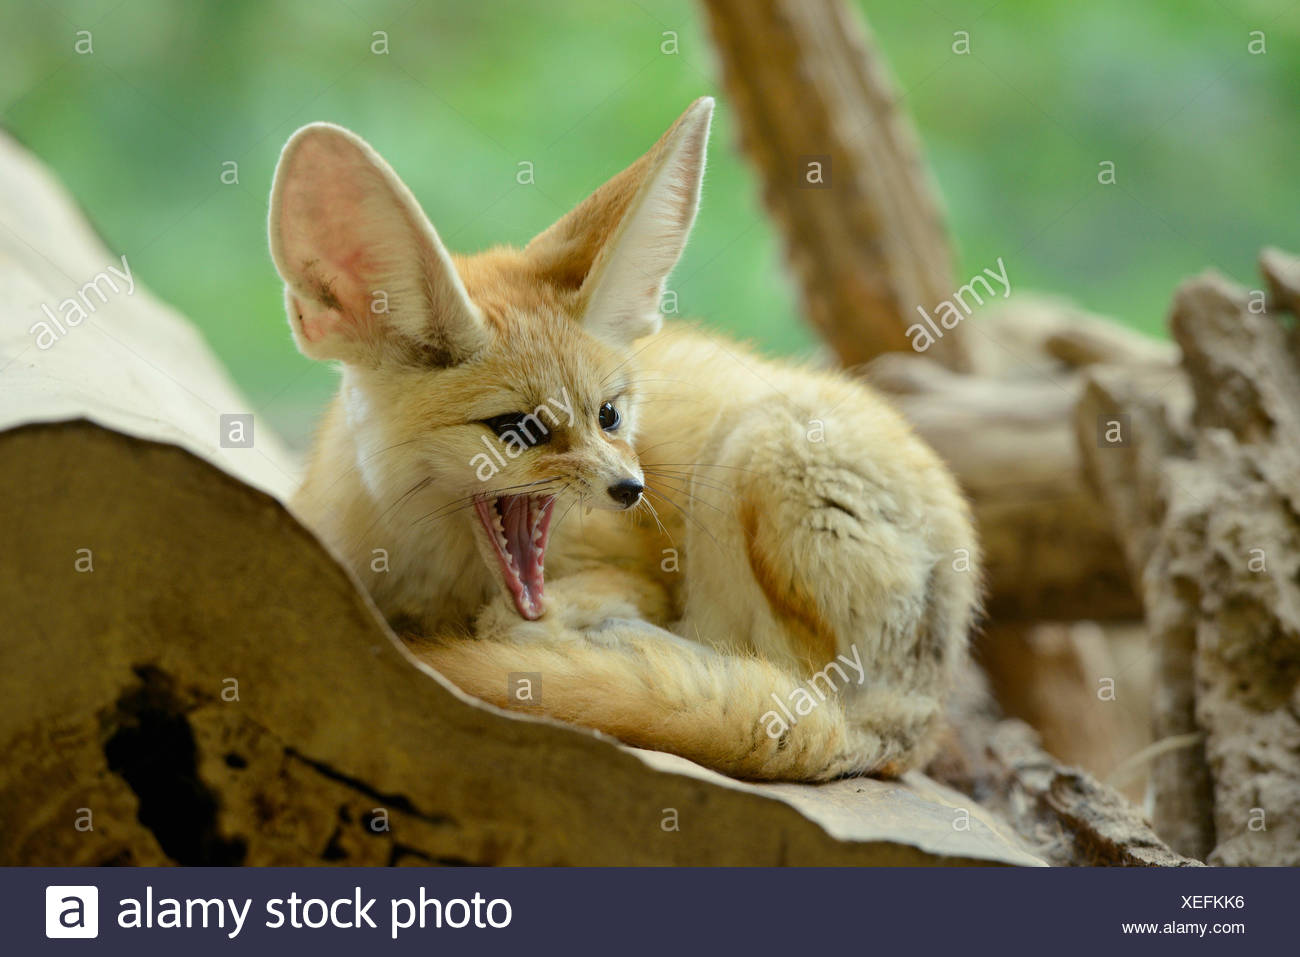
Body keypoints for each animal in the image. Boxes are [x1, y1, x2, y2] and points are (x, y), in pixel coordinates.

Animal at [268, 97, 980, 782]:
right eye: (517, 430)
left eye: (608, 415)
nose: (632, 489)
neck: (429, 572)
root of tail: (924, 707)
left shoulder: (630, 572)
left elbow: (532, 619)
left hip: (756, 446)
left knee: (788, 683)